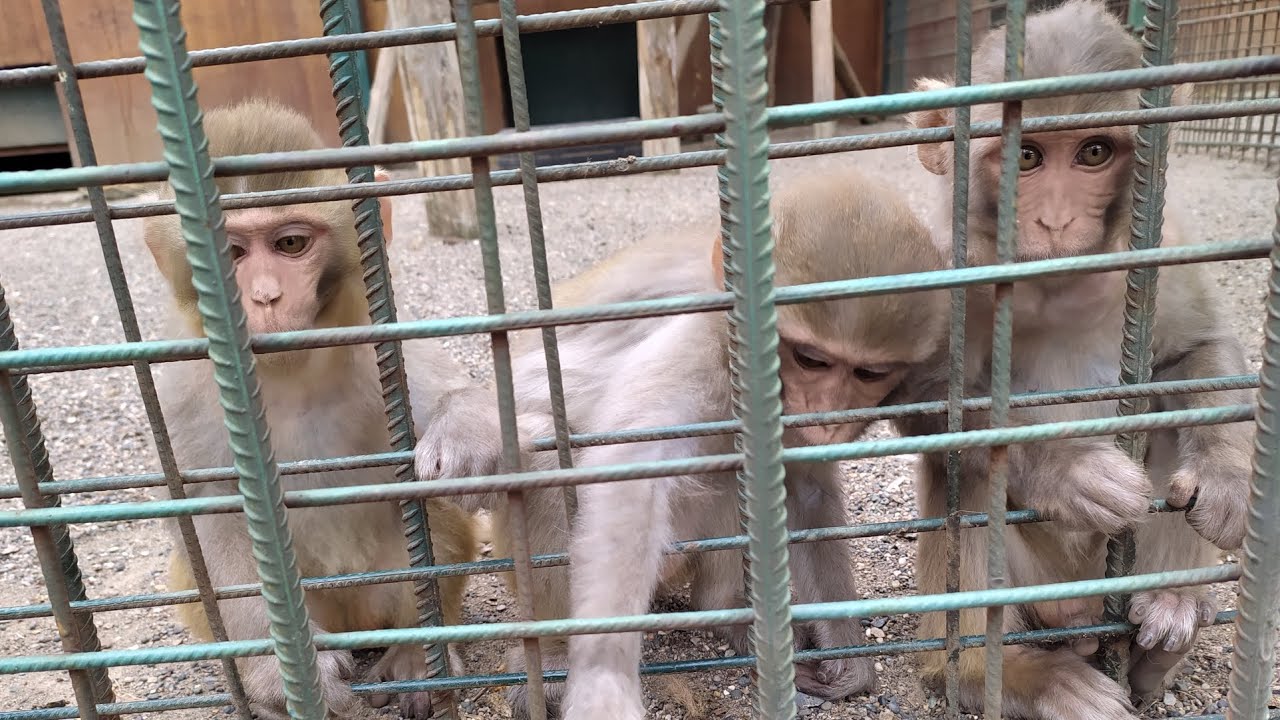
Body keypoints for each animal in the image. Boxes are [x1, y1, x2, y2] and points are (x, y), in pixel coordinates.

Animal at [146, 98, 491, 720]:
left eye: (290, 245)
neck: (289, 372)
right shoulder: (184, 397)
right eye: (230, 254)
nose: (263, 297)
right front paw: (276, 676)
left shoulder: (382, 347)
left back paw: (418, 654)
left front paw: (466, 430)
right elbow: (212, 523)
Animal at [415, 168, 953, 719]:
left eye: (868, 374)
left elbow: (803, 490)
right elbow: (628, 484)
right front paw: (602, 682)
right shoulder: (702, 347)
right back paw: (558, 654)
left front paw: (845, 652)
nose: (826, 416)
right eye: (811, 360)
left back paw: (730, 616)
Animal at [896, 2, 1256, 716]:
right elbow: (930, 404)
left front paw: (1227, 473)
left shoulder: (1164, 250)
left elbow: (1197, 352)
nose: (1058, 222)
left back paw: (1162, 627)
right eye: (1026, 156)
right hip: (1037, 587)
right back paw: (1005, 675)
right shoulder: (946, 274)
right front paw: (1068, 470)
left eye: (1093, 152)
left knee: (1166, 439)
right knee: (966, 486)